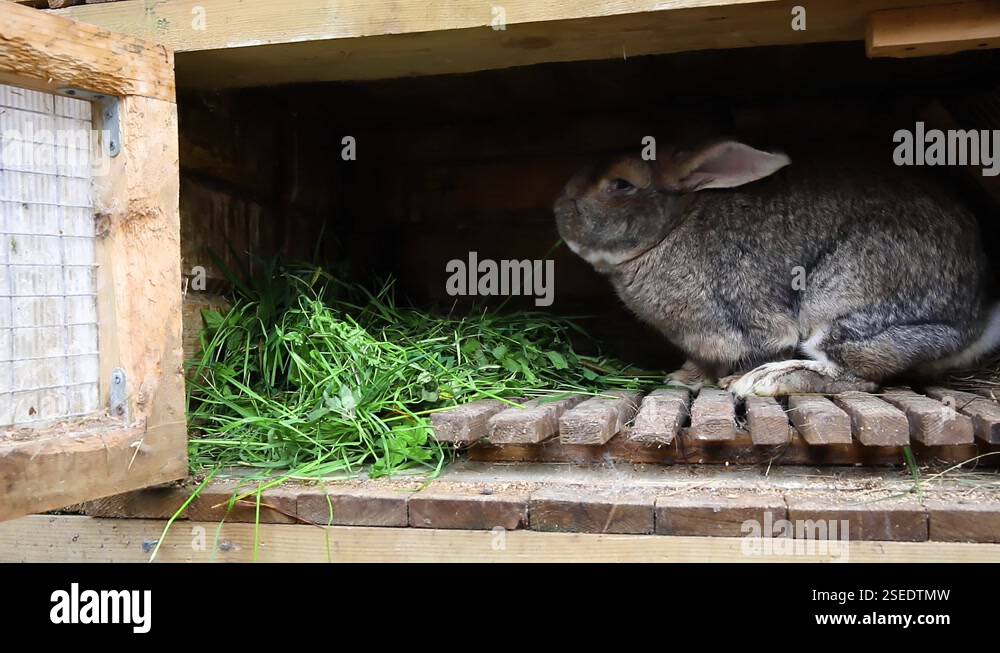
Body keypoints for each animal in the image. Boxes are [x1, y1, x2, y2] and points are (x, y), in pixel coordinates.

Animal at [553, 139, 1000, 397]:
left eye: (621, 184)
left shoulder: (740, 319)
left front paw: (700, 379)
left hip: (842, 306)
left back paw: (765, 381)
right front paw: (684, 378)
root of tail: (976, 323)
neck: (671, 229)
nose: (558, 210)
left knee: (859, 373)